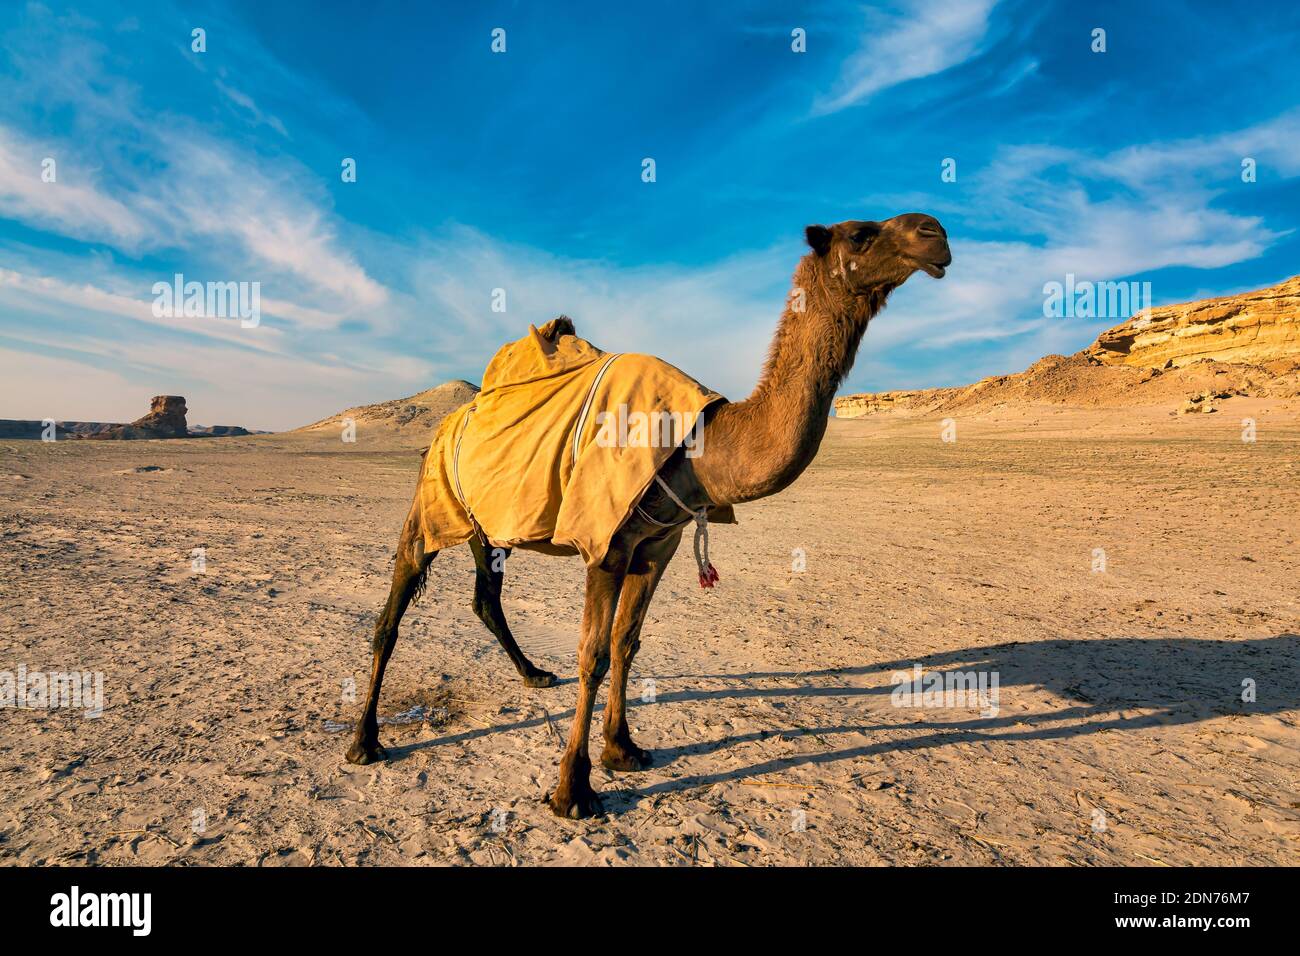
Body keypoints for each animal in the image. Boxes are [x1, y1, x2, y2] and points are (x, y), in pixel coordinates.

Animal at [345, 213, 952, 818]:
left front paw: (623, 750)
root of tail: (447, 423)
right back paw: (364, 741)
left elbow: (626, 642)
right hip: (431, 500)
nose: (936, 233)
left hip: (489, 526)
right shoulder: (606, 543)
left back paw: (535, 675)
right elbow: (592, 653)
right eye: (861, 234)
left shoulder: (658, 544)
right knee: (392, 612)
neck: (698, 448)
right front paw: (572, 790)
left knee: (485, 598)